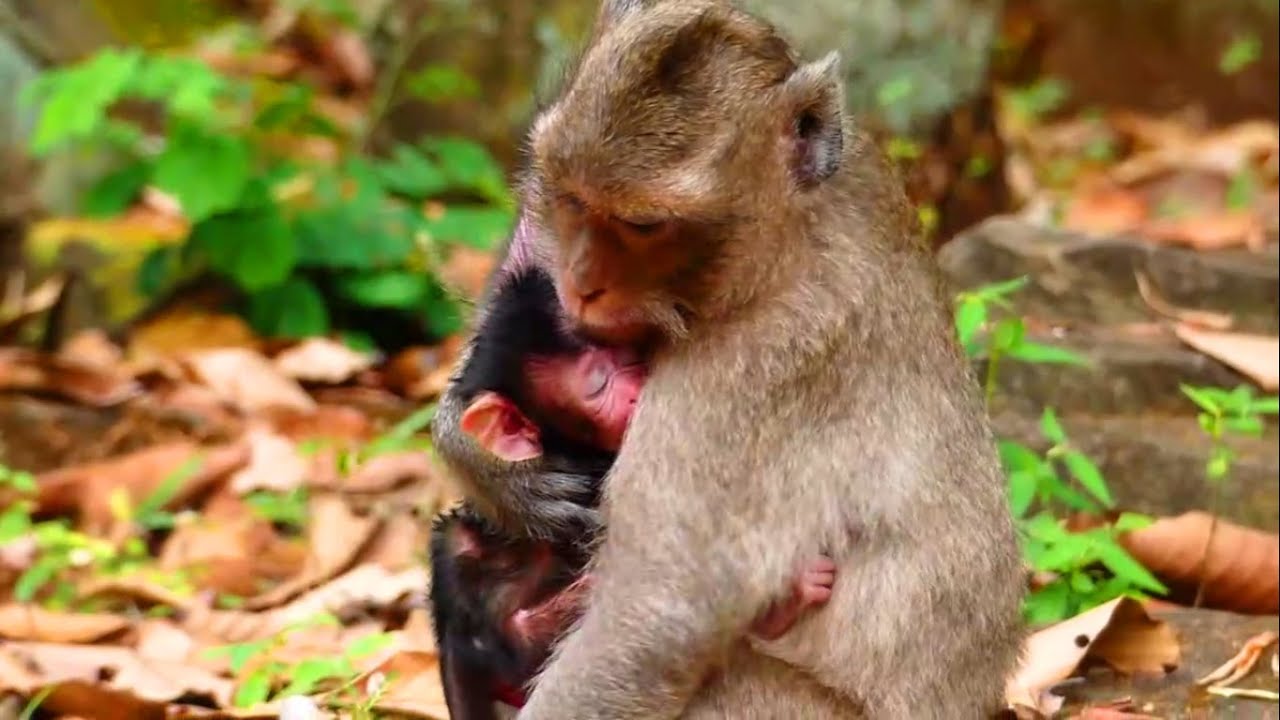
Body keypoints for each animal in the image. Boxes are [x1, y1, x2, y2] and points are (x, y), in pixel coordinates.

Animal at [429, 1, 1026, 718]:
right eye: (571, 197)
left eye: (645, 225)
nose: (580, 282)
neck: (782, 239)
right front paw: (482, 458)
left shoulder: (759, 361)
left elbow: (662, 607)